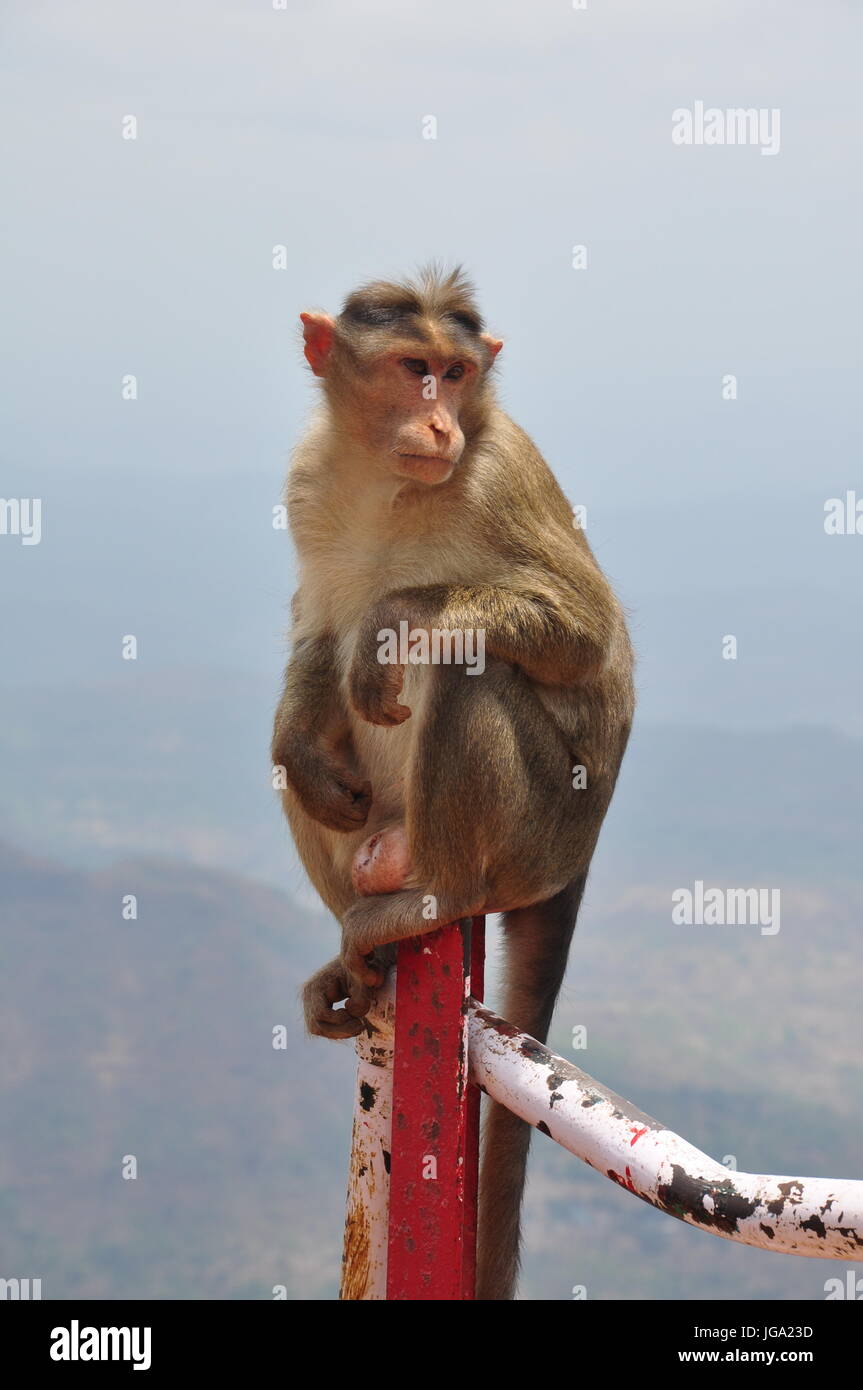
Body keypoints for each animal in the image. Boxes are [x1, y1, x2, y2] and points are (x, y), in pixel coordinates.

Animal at [271, 266, 635, 1301]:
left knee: (467, 661)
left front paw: (394, 613)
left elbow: (582, 637)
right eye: (410, 367)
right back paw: (357, 949)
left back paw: (433, 896)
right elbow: (315, 633)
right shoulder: (305, 480)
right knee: (311, 770)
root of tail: (579, 856)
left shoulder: (500, 465)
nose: (440, 422)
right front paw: (301, 743)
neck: (390, 479)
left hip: (535, 831)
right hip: (383, 829)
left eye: (458, 372)